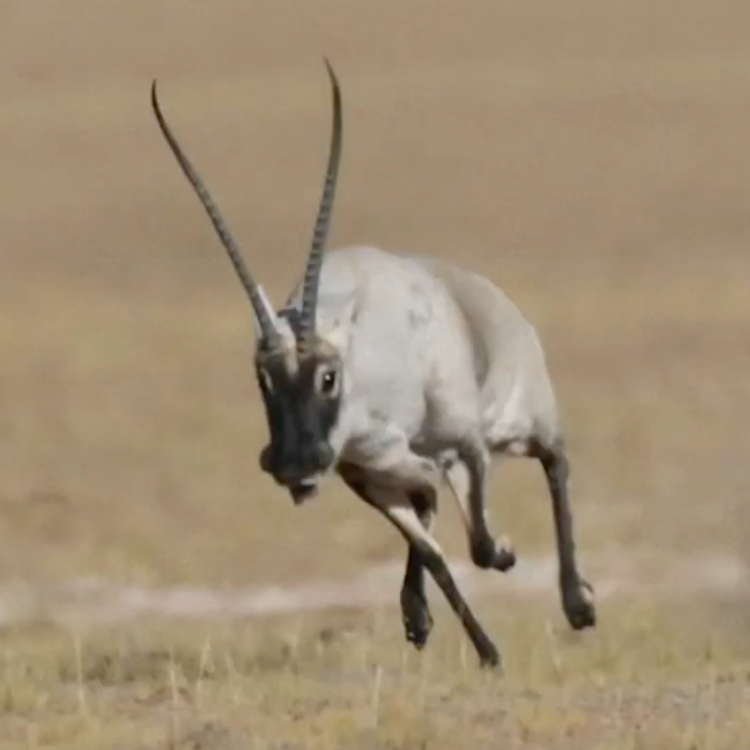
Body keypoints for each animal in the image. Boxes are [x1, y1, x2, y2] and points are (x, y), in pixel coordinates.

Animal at [150, 60, 596, 669]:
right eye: (264, 378)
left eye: (327, 376)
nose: (293, 465)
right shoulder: (371, 477)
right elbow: (432, 550)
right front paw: (484, 650)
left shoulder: (469, 446)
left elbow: (481, 544)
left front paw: (506, 556)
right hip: (426, 463)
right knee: (433, 507)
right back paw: (421, 616)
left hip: (517, 426)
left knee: (555, 462)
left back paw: (579, 604)